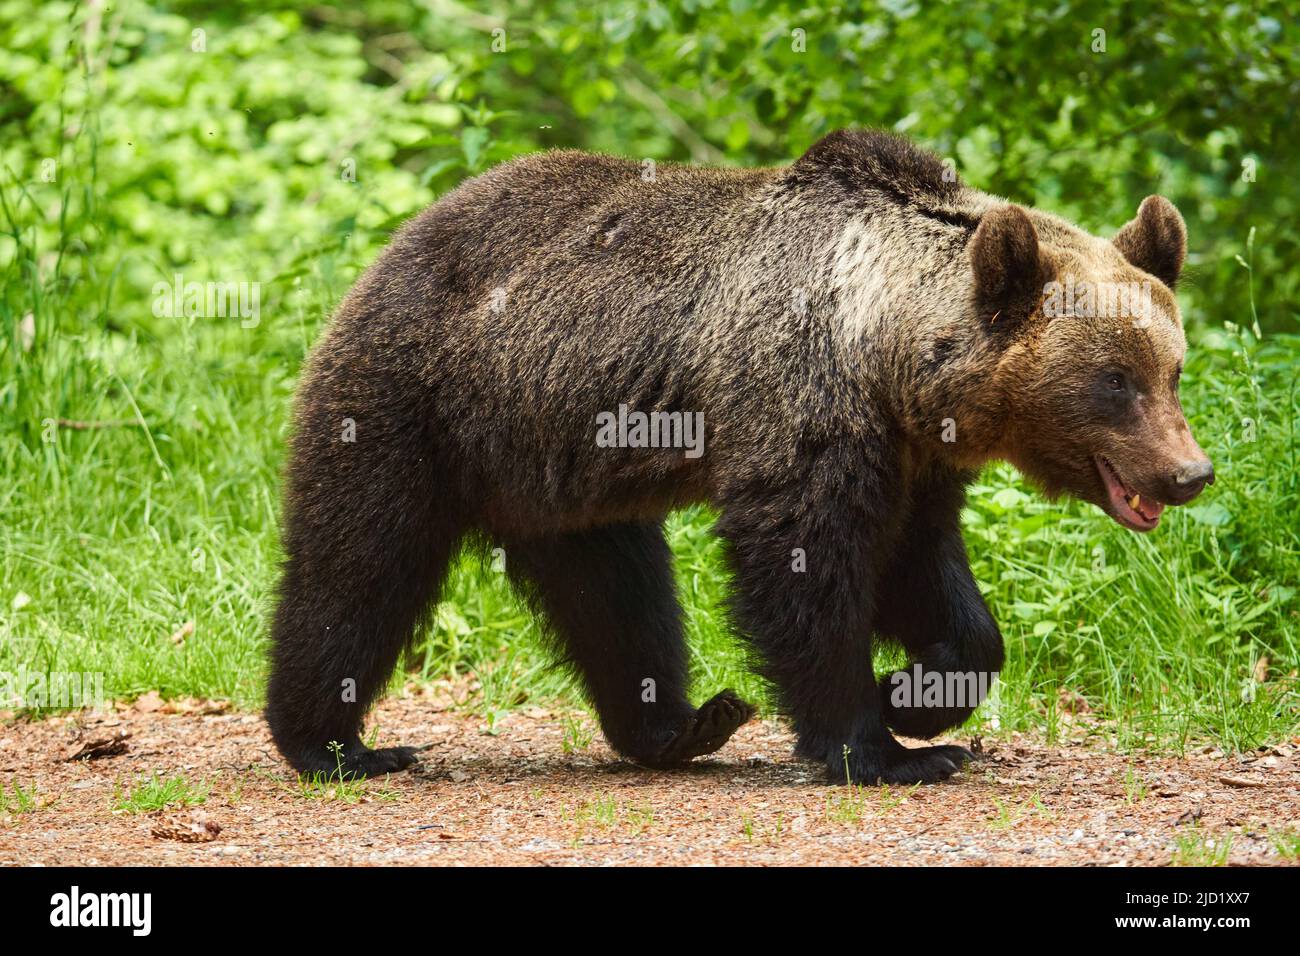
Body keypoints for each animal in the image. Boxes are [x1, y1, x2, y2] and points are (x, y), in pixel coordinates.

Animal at [265, 129, 1214, 785]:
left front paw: (919, 696)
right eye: (1113, 381)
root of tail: (392, 247)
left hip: (559, 472)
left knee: (620, 595)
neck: (886, 353)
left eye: (1171, 369)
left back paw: (682, 724)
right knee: (357, 565)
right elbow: (803, 569)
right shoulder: (802, 406)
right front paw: (880, 745)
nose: (1189, 473)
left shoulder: (910, 458)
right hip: (409, 405)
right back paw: (334, 745)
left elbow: (931, 579)